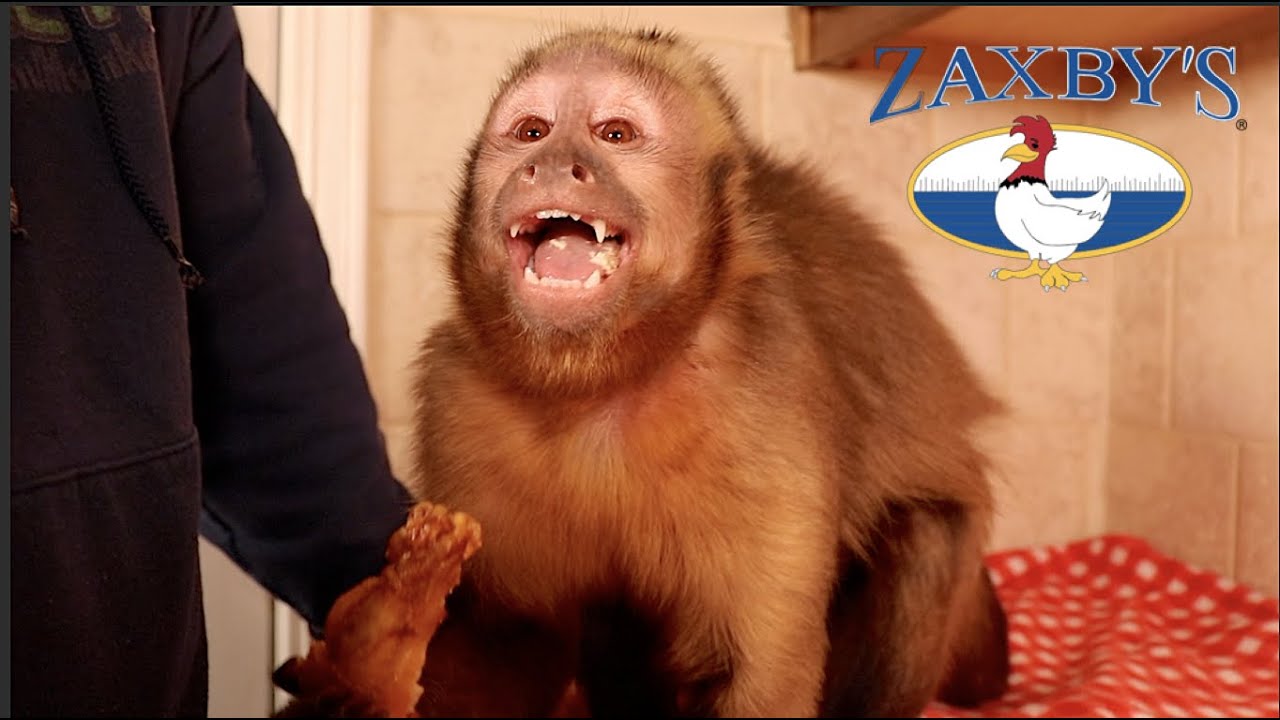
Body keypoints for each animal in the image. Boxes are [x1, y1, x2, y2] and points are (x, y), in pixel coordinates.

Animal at [400, 25, 1012, 719]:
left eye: (615, 134)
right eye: (532, 131)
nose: (553, 165)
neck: (600, 384)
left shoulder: (764, 392)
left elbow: (762, 668)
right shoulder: (457, 401)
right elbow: (504, 640)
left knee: (925, 535)